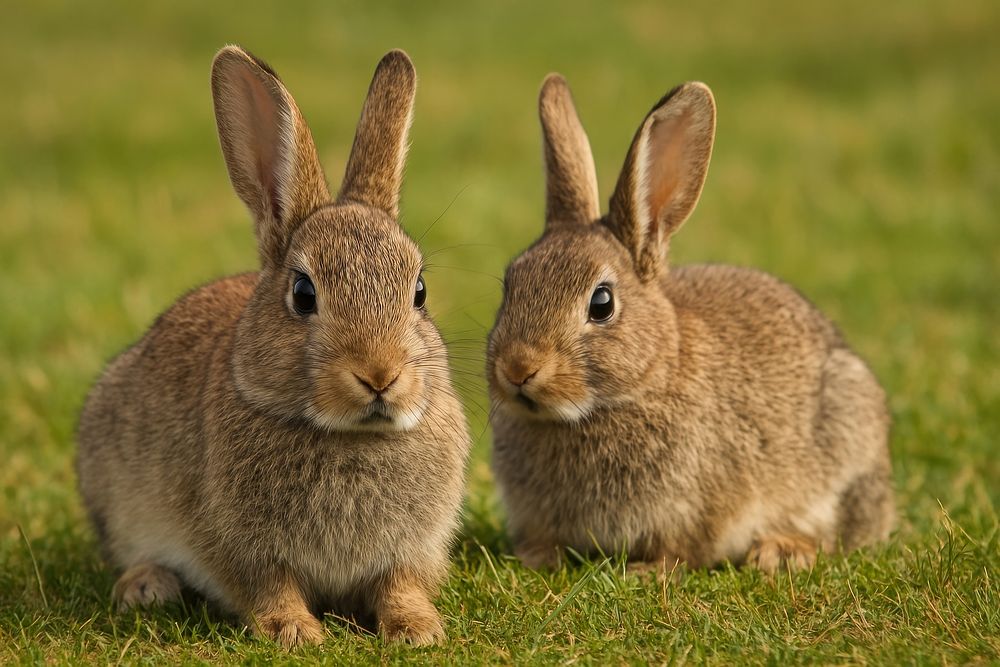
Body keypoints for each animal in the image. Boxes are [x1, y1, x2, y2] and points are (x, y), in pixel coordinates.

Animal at [76, 45, 470, 648]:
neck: (353, 436)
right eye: (304, 294)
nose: (380, 375)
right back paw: (144, 586)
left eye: (419, 291)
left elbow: (398, 585)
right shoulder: (242, 548)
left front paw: (418, 628)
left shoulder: (410, 550)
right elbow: (271, 588)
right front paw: (297, 632)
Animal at [487, 74, 894, 576]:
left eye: (601, 303)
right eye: (510, 284)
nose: (518, 368)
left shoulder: (698, 505)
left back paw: (780, 551)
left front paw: (647, 571)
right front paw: (534, 557)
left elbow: (680, 547)